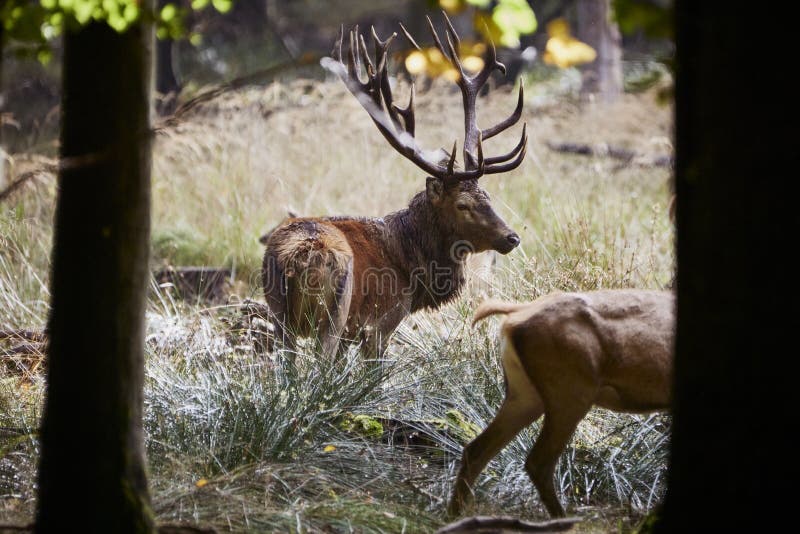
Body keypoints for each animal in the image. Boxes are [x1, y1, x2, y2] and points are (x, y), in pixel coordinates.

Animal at [261, 13, 528, 359]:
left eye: (488, 196)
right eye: (463, 205)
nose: (512, 237)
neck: (409, 265)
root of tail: (300, 256)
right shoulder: (379, 323)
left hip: (278, 313)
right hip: (334, 313)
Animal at [447, 289, 674, 518]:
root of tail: (516, 314)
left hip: (524, 394)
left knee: (476, 450)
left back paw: (453, 515)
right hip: (570, 391)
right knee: (538, 461)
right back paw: (562, 519)